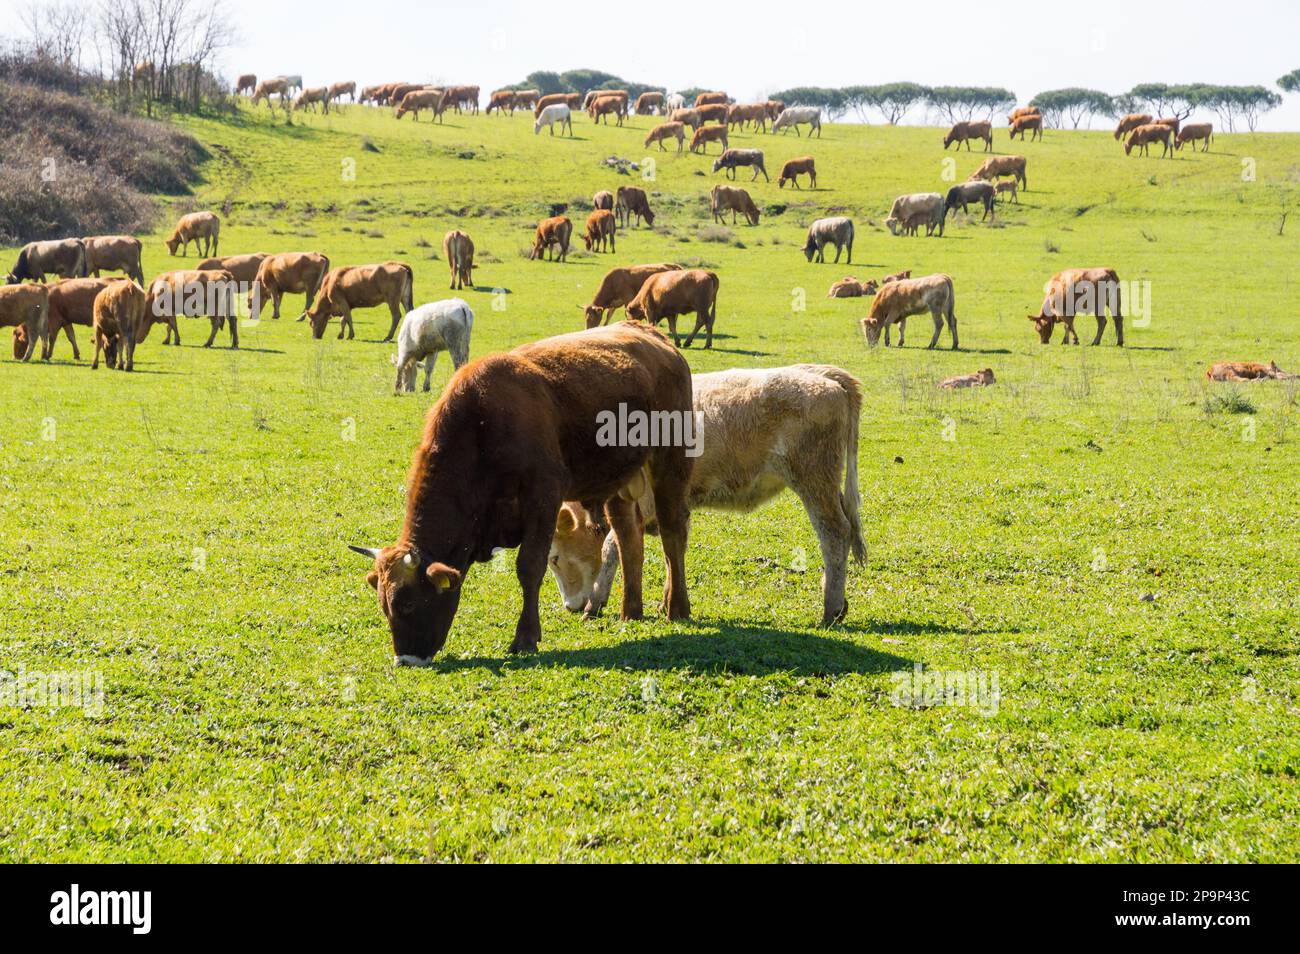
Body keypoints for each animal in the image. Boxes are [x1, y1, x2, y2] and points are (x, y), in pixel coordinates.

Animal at [347, 322, 695, 662]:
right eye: (384, 606)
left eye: (407, 603)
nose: (405, 659)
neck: (481, 425)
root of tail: (651, 334)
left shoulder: (544, 497)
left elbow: (529, 567)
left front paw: (526, 637)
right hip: (620, 478)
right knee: (628, 539)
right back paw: (631, 610)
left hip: (671, 461)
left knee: (672, 532)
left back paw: (677, 607)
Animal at [550, 365, 864, 624]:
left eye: (553, 559)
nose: (569, 606)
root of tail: (820, 374)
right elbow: (673, 550)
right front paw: (667, 603)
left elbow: (613, 548)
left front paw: (596, 602)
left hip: (814, 480)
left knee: (835, 533)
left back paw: (831, 608)